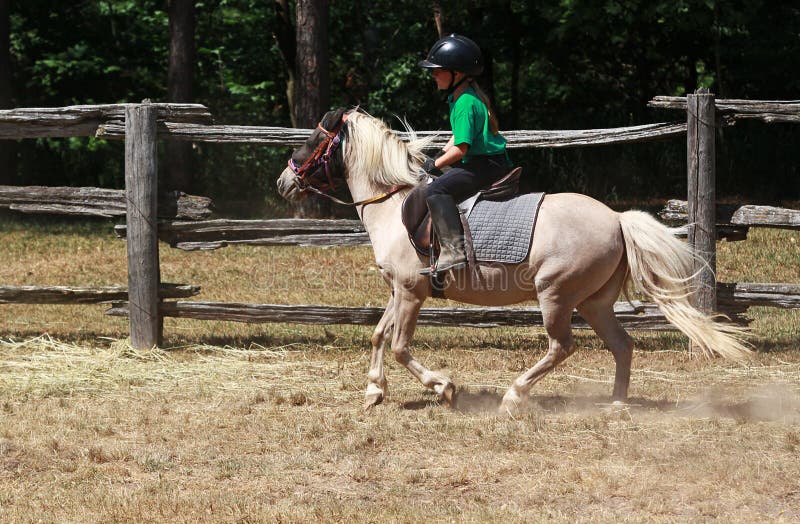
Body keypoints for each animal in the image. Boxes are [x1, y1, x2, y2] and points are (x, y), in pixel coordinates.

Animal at [276, 108, 751, 413]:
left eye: (315, 140)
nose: (283, 182)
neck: (393, 207)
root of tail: (617, 218)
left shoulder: (411, 292)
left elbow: (398, 346)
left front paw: (444, 387)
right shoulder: (399, 289)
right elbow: (378, 335)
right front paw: (374, 391)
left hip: (556, 296)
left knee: (563, 346)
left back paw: (514, 396)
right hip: (594, 302)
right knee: (621, 344)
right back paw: (616, 405)